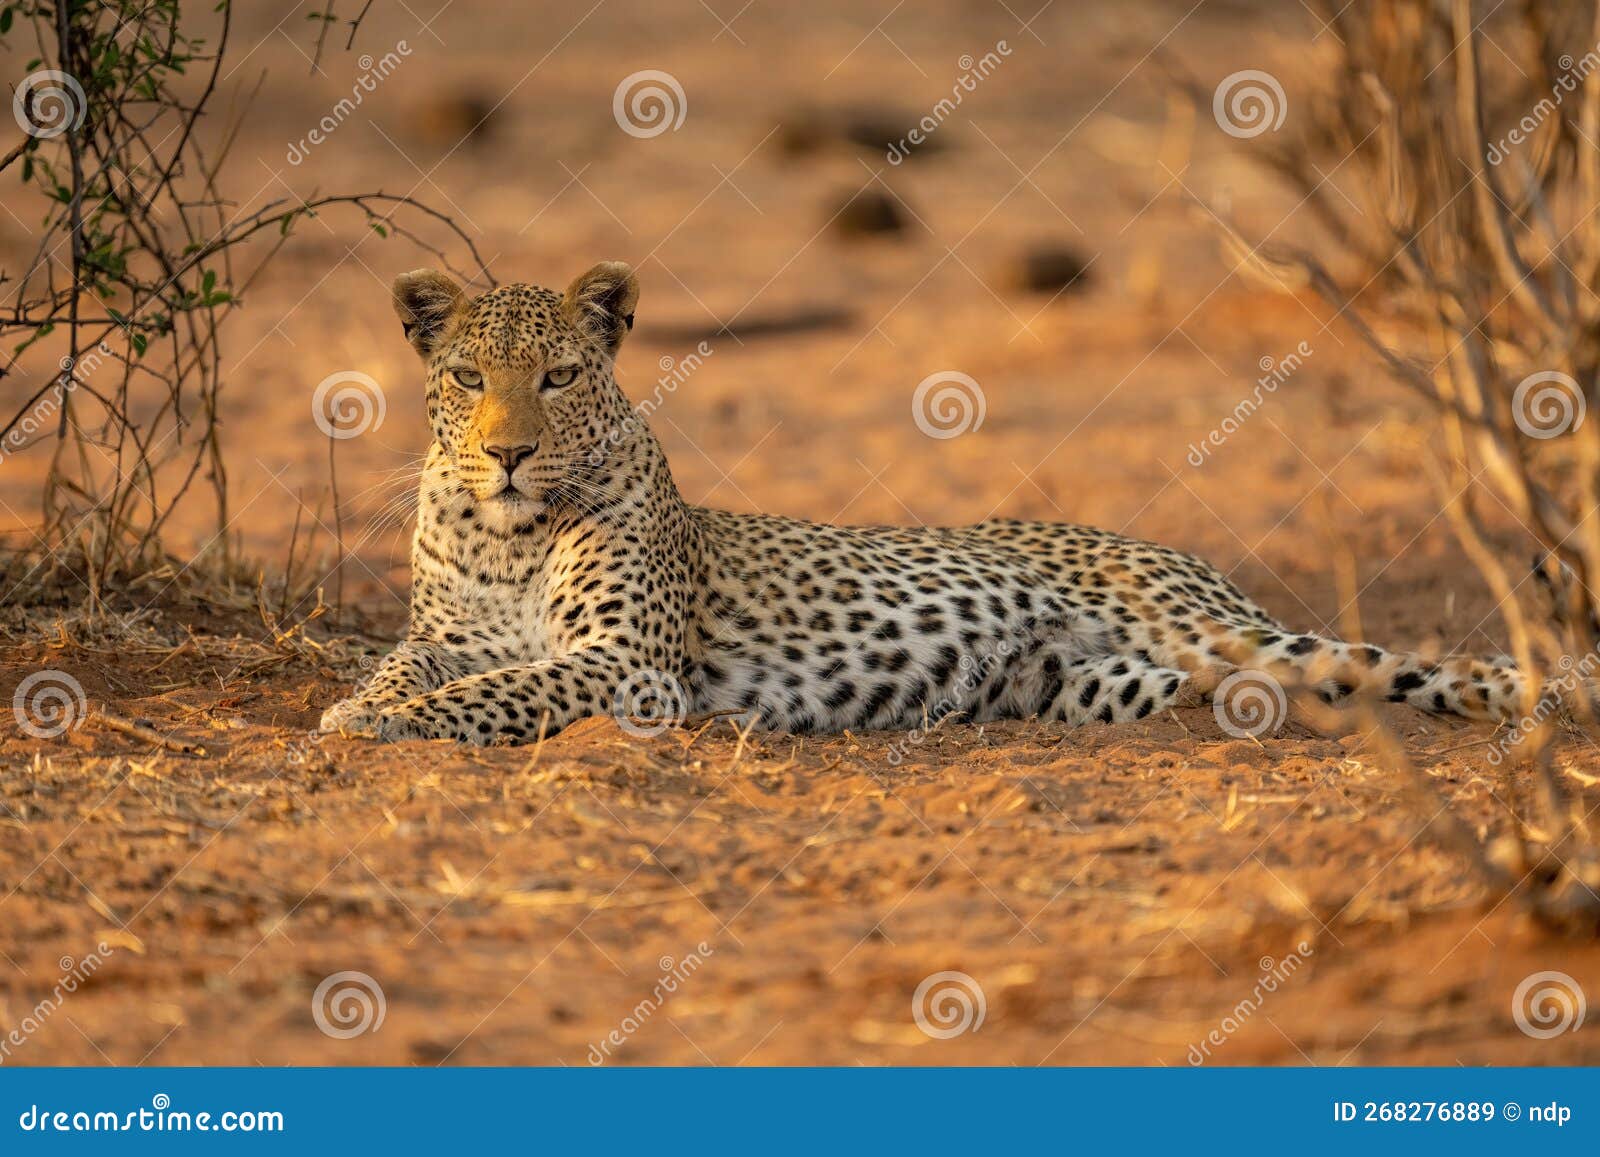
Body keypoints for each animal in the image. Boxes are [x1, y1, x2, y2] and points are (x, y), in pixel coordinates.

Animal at [319, 261, 1577, 745]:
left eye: (560, 376)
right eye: (467, 377)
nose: (508, 453)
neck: (504, 535)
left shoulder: (625, 664)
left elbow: (496, 692)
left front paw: (383, 728)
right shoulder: (444, 630)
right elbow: (410, 666)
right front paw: (353, 709)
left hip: (1215, 623)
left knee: (1392, 660)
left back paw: (1541, 689)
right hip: (1106, 682)